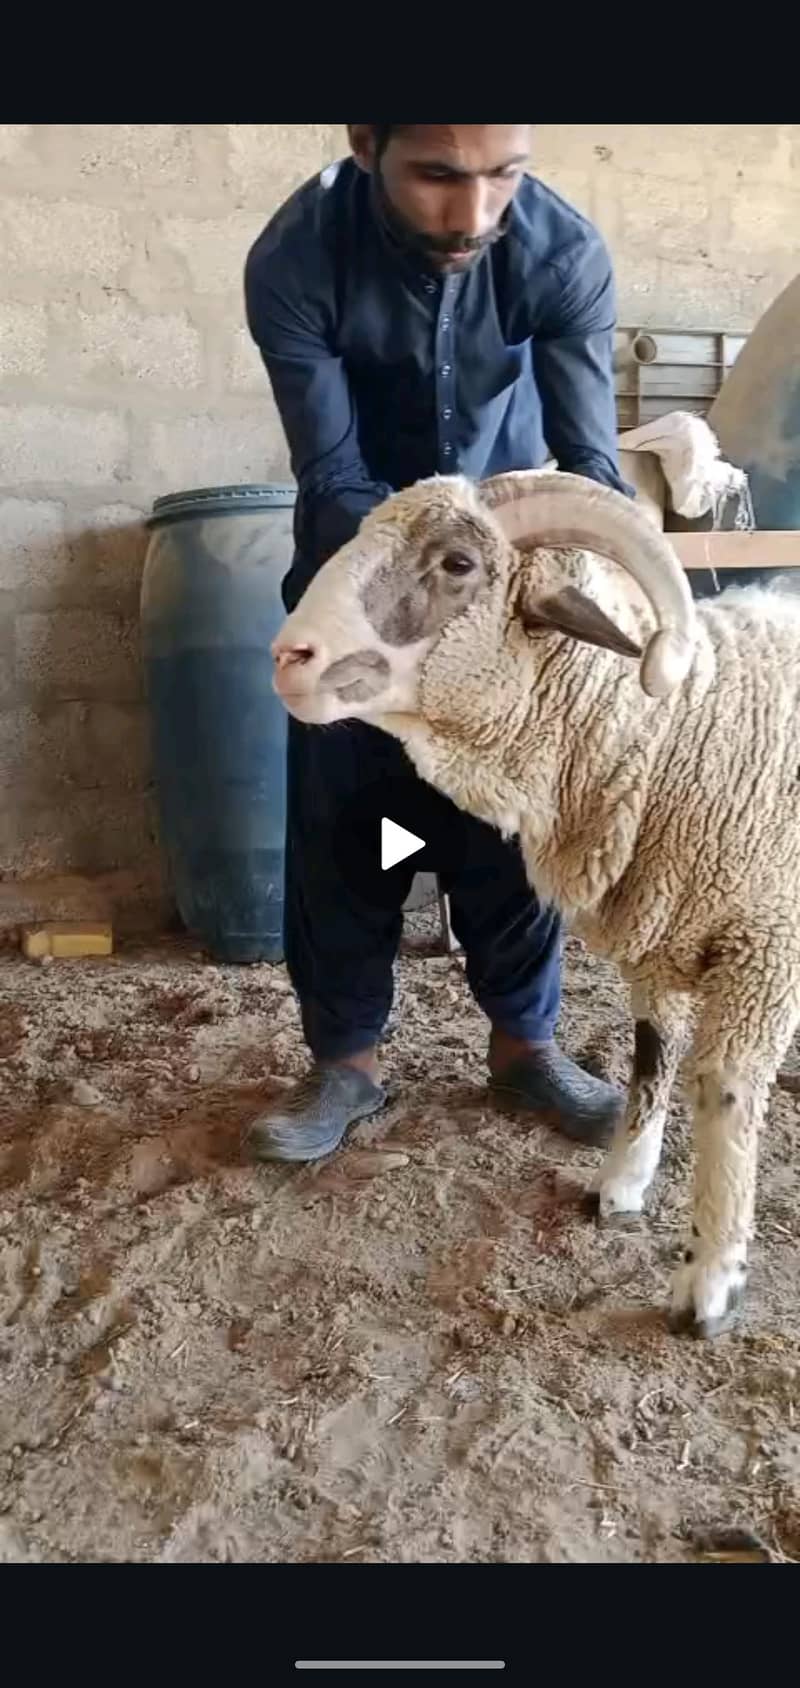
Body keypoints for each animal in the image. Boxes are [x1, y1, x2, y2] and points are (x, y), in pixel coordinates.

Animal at [272, 469, 800, 1338]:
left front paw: (711, 1283)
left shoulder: (766, 951)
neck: (680, 723)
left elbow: (724, 1095)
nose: (288, 657)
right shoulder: (660, 952)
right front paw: (622, 1186)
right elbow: (651, 1058)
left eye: (458, 563)